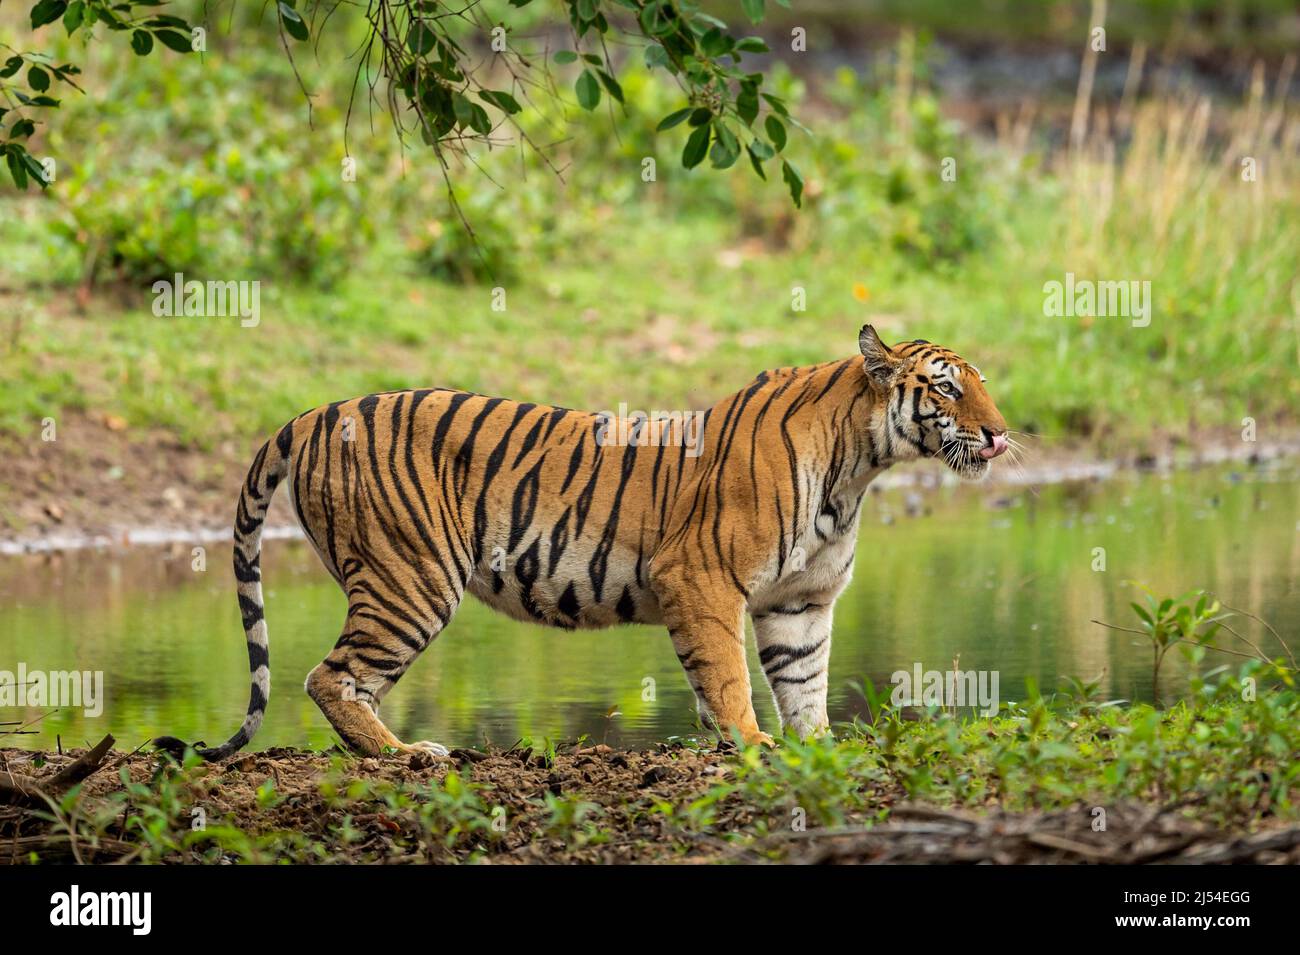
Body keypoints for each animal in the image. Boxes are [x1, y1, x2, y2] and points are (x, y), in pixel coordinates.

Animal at [155, 325, 1009, 761]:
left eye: (981, 383)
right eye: (946, 387)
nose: (1001, 434)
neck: (858, 468)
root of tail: (316, 410)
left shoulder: (799, 602)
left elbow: (805, 683)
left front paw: (816, 747)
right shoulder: (701, 577)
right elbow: (729, 675)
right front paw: (749, 740)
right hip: (412, 578)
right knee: (330, 677)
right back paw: (406, 754)